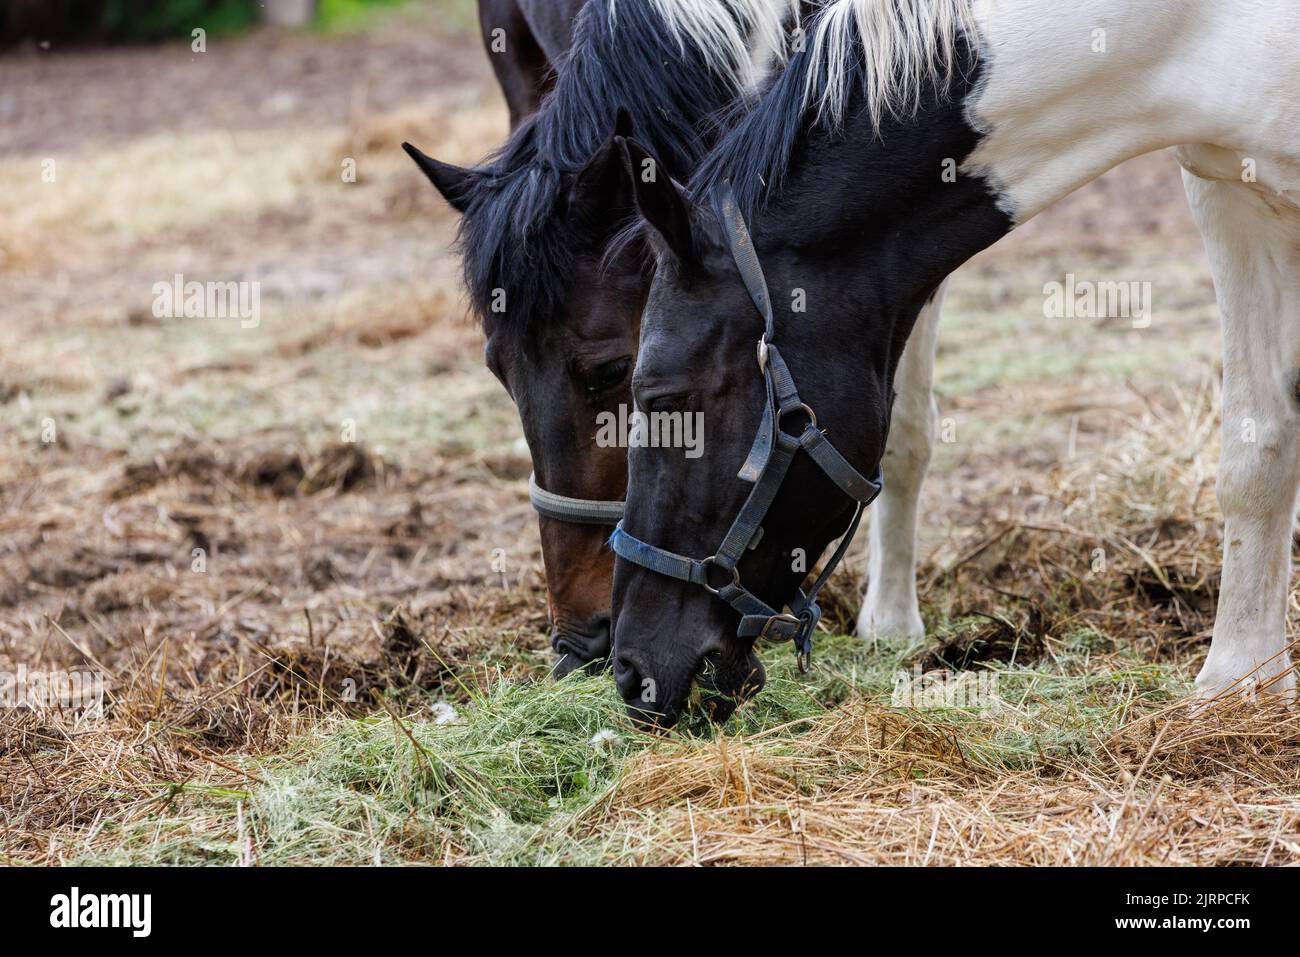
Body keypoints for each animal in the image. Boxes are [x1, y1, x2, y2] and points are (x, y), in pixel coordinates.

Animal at [610, 0, 1300, 726]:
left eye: (661, 397)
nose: (630, 672)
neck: (1199, 27)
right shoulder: (1228, 195)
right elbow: (1256, 452)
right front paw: (1241, 683)